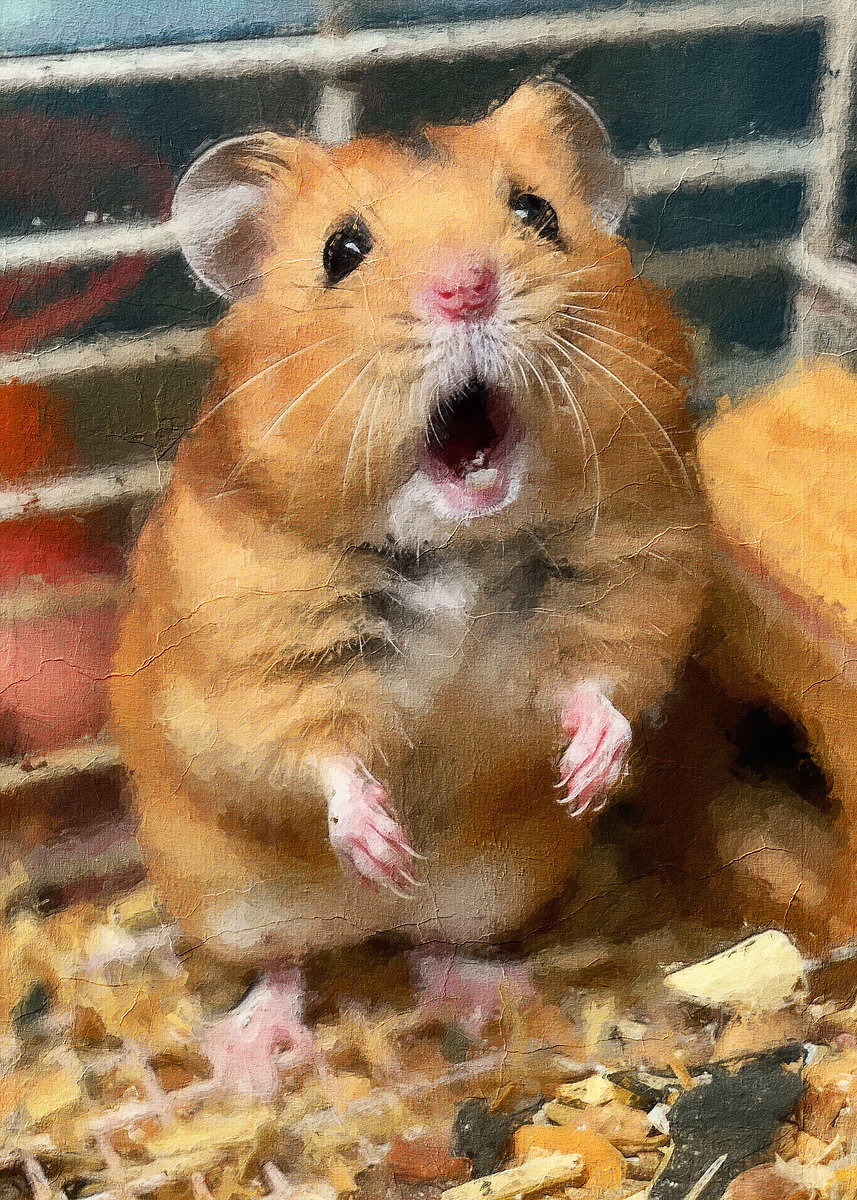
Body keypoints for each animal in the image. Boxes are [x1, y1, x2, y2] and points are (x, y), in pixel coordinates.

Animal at [111, 79, 710, 1096]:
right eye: (341, 252)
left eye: (537, 214)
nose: (466, 288)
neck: (461, 548)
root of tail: (365, 932)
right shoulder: (254, 656)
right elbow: (317, 750)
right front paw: (380, 842)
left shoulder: (632, 582)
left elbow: (598, 684)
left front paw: (585, 778)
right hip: (227, 898)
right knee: (286, 966)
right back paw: (260, 1047)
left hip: (489, 889)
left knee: (430, 945)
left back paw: (480, 985)